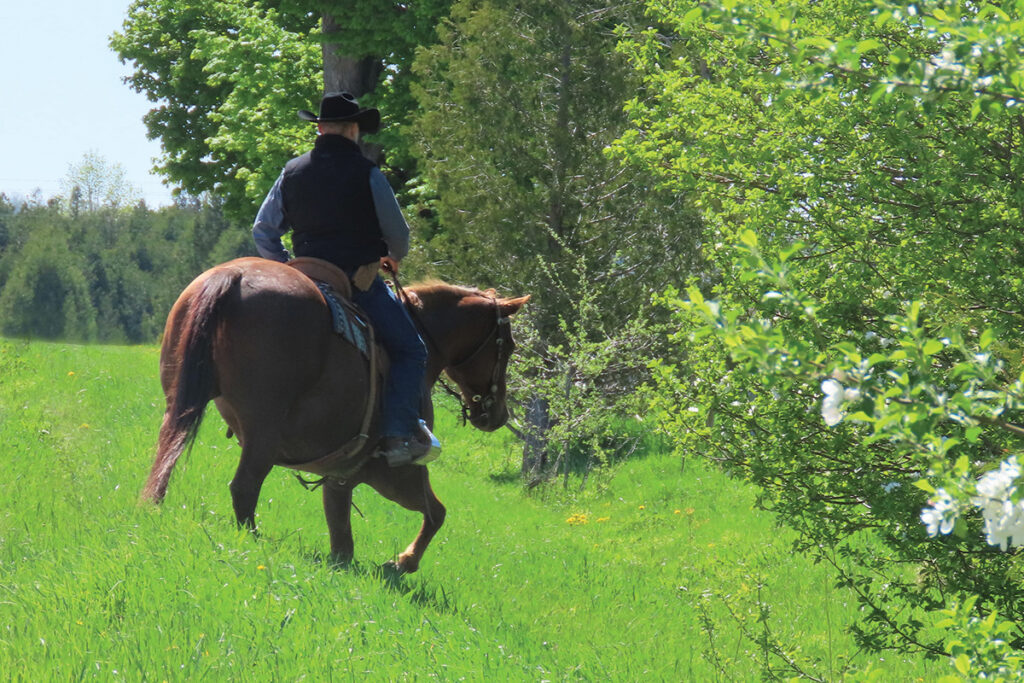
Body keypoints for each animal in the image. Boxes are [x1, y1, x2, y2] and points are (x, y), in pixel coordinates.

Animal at [141, 257, 529, 573]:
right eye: (508, 346)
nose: (497, 414)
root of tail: (233, 275)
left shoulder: (339, 476)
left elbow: (341, 536)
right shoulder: (394, 472)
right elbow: (436, 513)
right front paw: (402, 562)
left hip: (180, 404)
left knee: (166, 457)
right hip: (262, 433)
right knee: (244, 487)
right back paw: (252, 541)